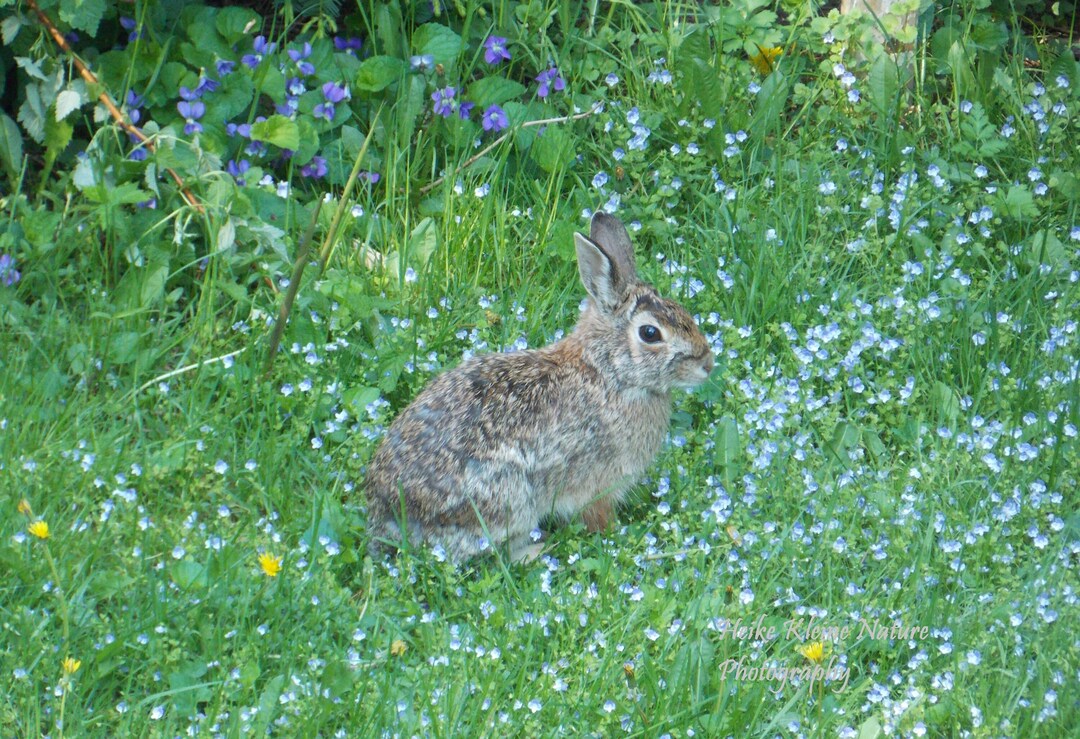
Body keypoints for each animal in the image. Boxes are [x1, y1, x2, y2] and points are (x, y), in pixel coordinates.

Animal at [365, 212, 714, 564]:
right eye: (650, 333)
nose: (707, 364)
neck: (609, 372)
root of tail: (389, 516)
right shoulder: (597, 484)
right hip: (508, 500)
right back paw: (539, 550)